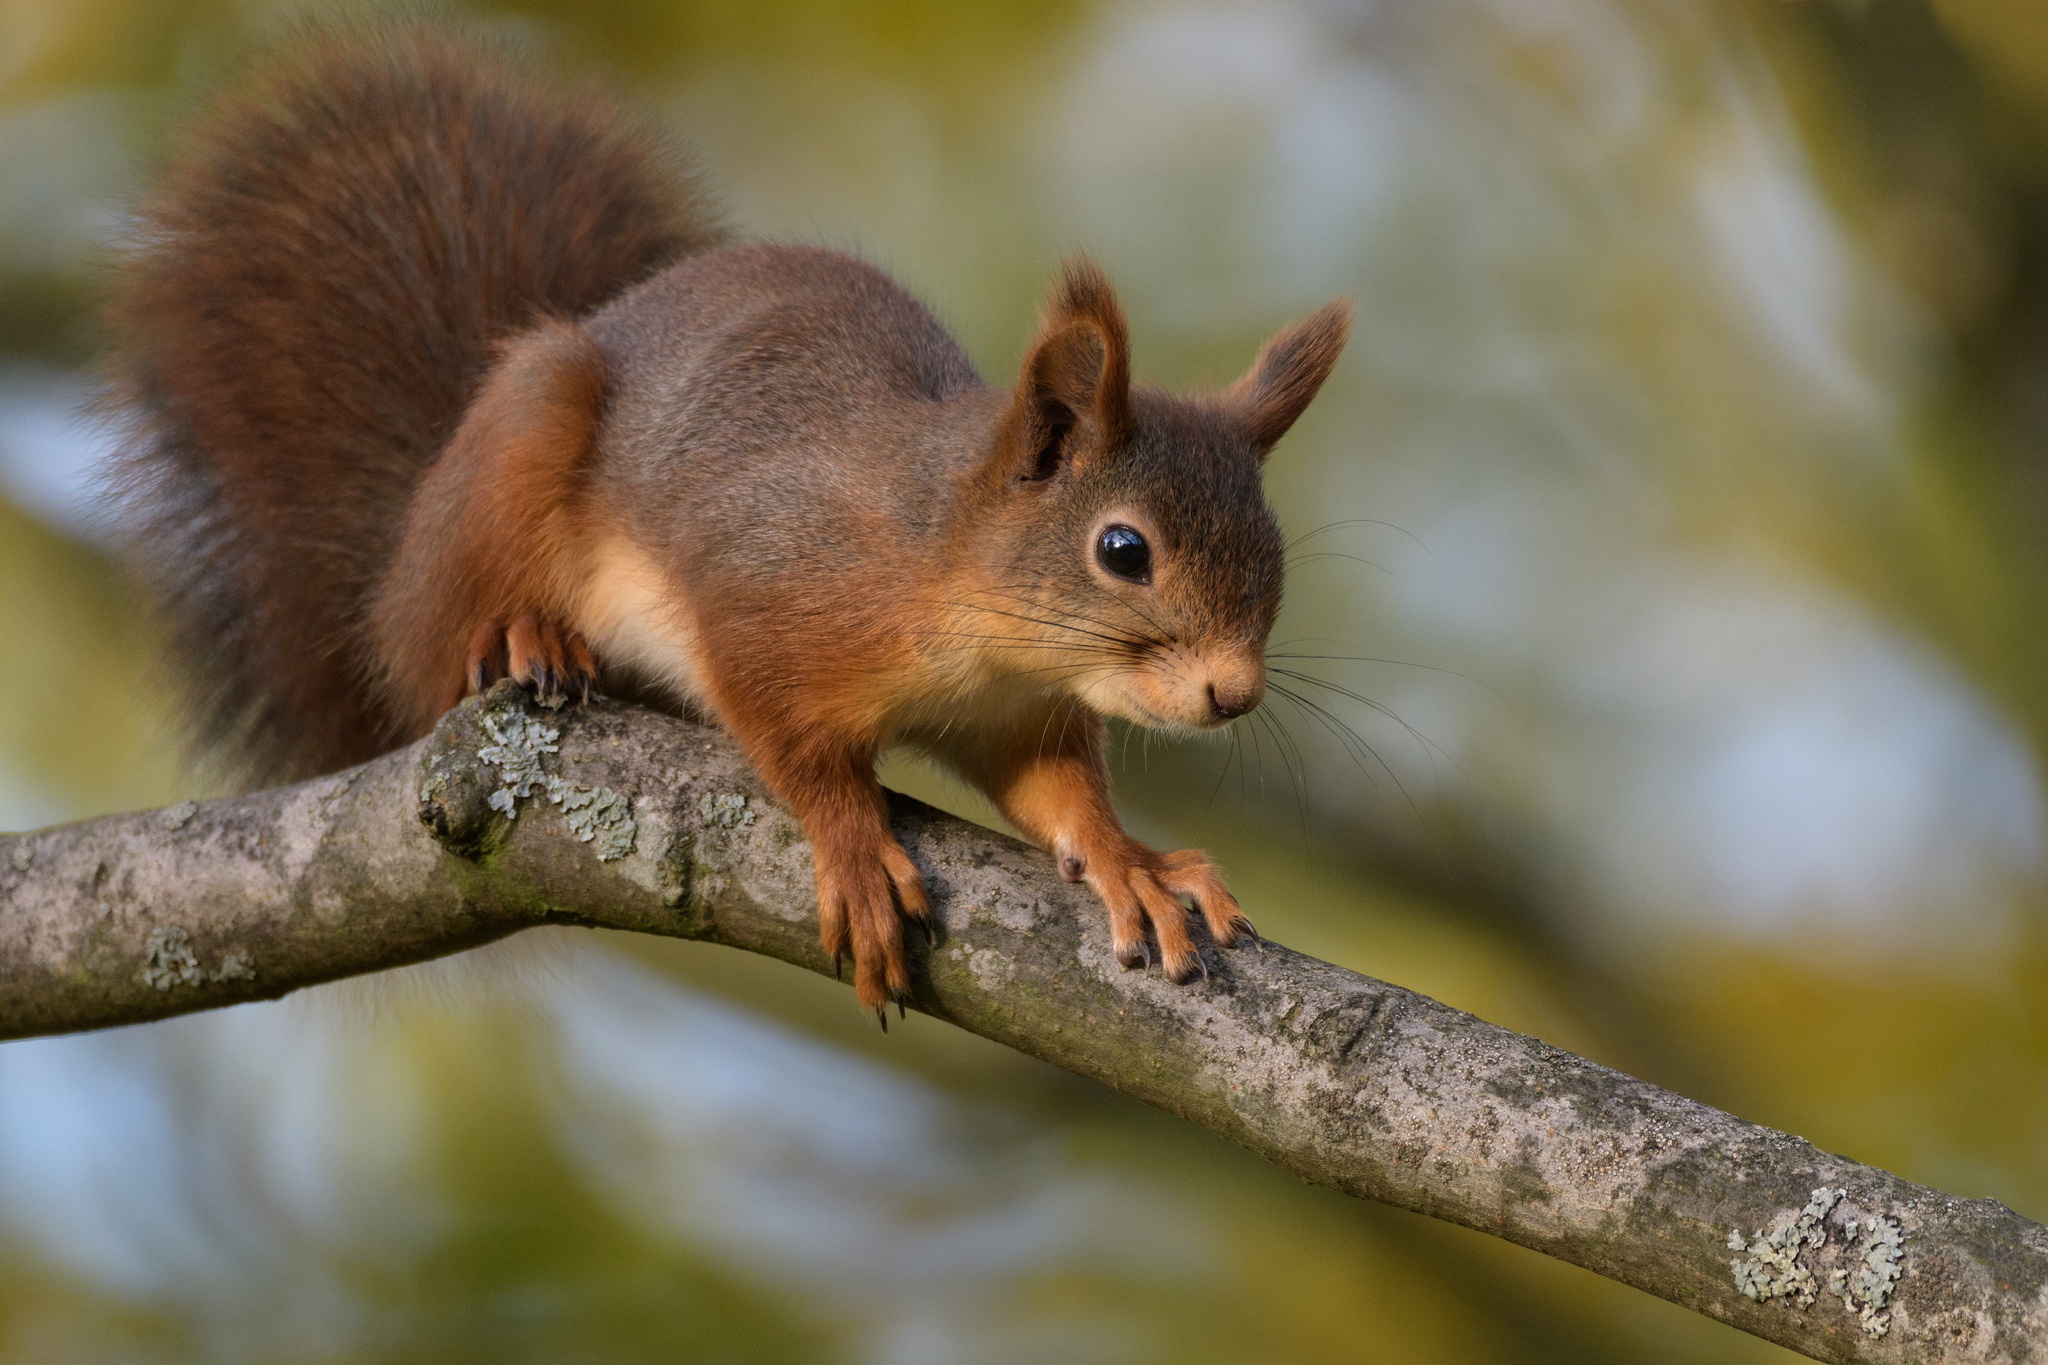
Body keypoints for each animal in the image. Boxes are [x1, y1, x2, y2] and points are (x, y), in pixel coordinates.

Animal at [105, 25, 1351, 1019]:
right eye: (1122, 551)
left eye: (1273, 552)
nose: (1232, 694)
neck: (948, 566)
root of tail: (399, 555)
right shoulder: (758, 587)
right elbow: (790, 741)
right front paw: (851, 845)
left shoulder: (1015, 711)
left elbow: (1055, 789)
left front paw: (1127, 859)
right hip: (517, 446)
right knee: (436, 644)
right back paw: (519, 633)